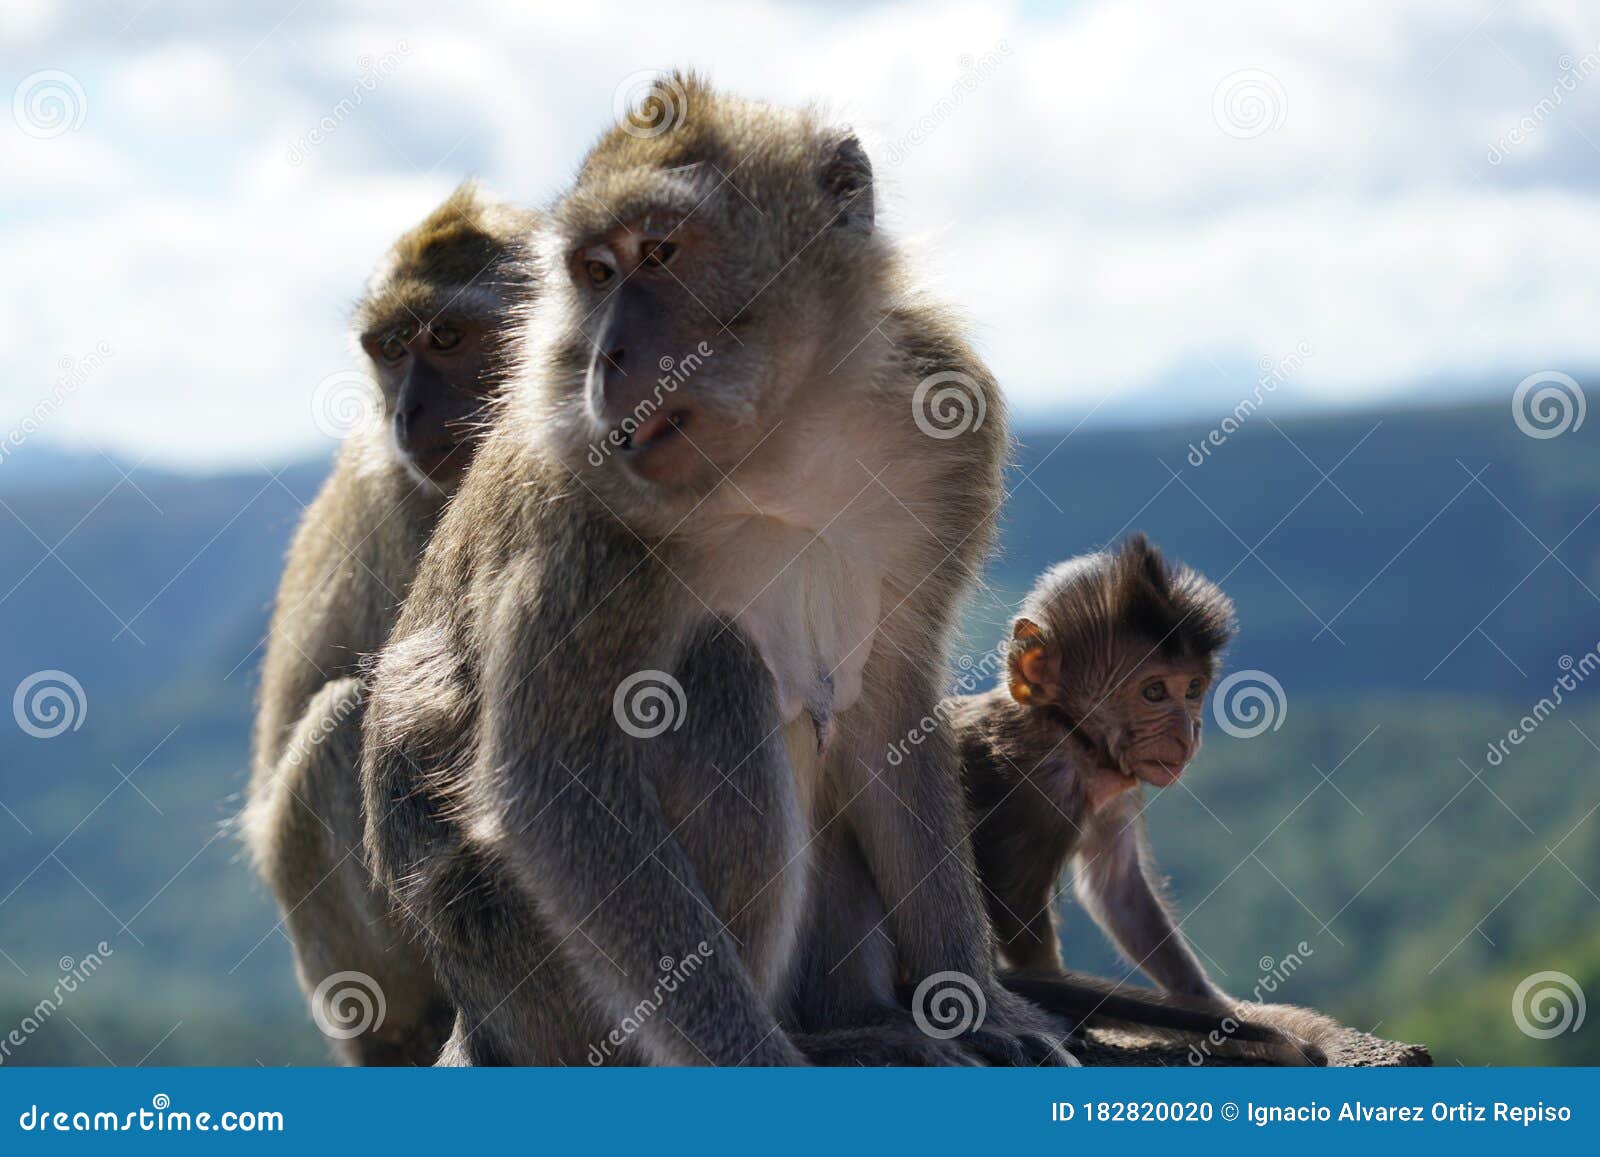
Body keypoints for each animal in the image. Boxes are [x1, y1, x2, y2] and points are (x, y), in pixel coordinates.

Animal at [360, 74, 1076, 1066]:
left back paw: (852, 1022)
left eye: (659, 252)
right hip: (538, 980)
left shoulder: (950, 413)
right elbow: (555, 780)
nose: (607, 356)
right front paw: (759, 1065)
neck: (785, 436)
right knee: (716, 671)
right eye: (596, 273)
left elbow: (889, 705)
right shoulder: (577, 495)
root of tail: (484, 1018)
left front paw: (977, 1001)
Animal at [944, 533, 1344, 1064]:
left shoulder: (1115, 785)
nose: (1189, 732)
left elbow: (1119, 889)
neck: (1066, 730)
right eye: (1154, 691)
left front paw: (1215, 1006)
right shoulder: (1045, 782)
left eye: (1193, 688)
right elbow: (1014, 900)